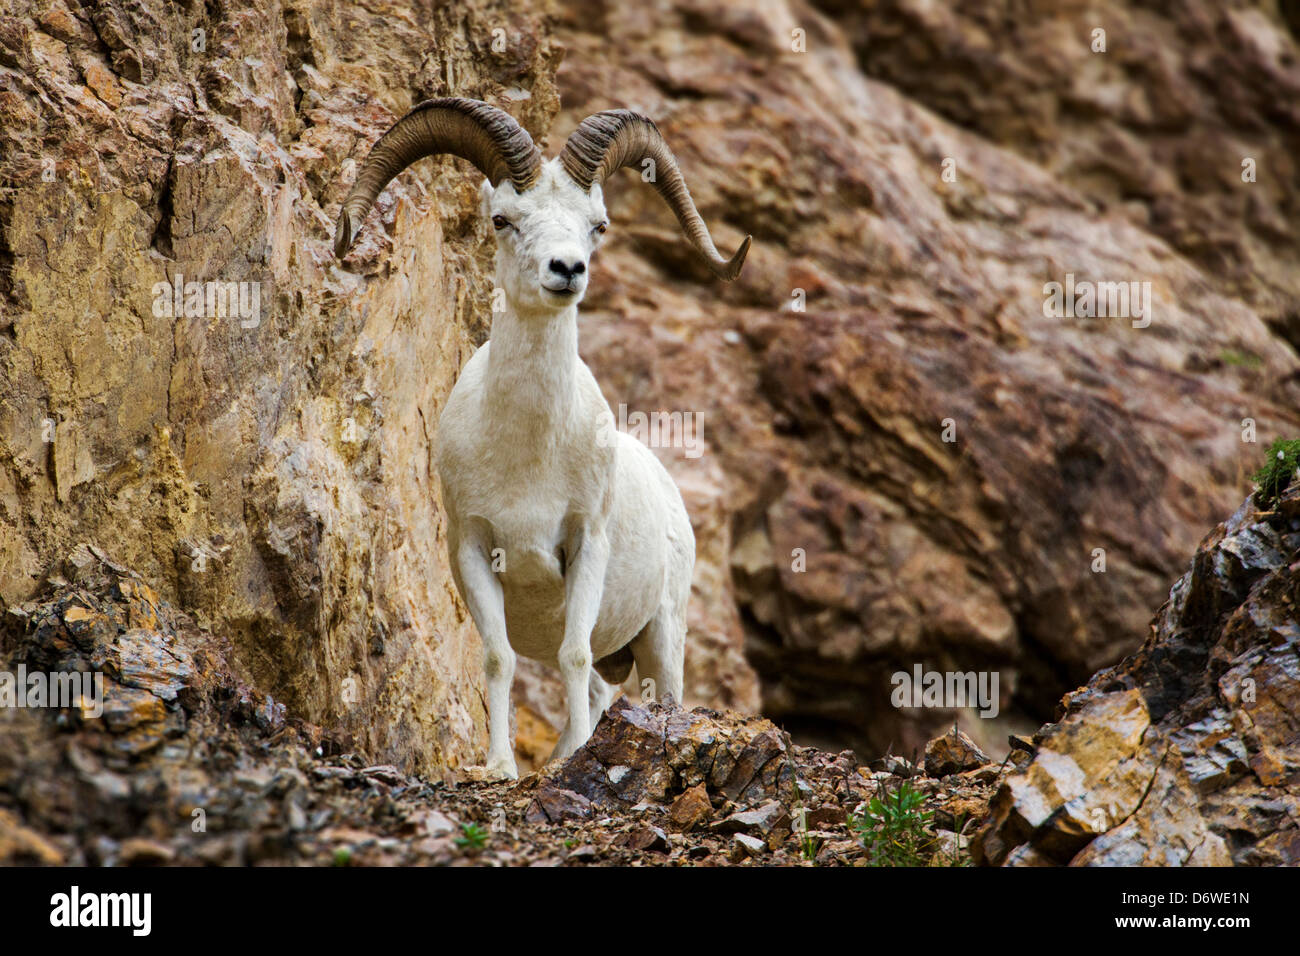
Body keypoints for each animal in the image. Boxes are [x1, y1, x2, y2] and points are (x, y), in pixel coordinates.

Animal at [335, 98, 750, 778]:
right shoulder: (476, 551)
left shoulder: (584, 546)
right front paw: (502, 766)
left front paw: (575, 759)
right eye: (503, 219)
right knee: (603, 690)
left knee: (650, 691)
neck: (528, 457)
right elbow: (499, 658)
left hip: (663, 636)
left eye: (598, 226)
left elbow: (572, 655)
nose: (567, 270)